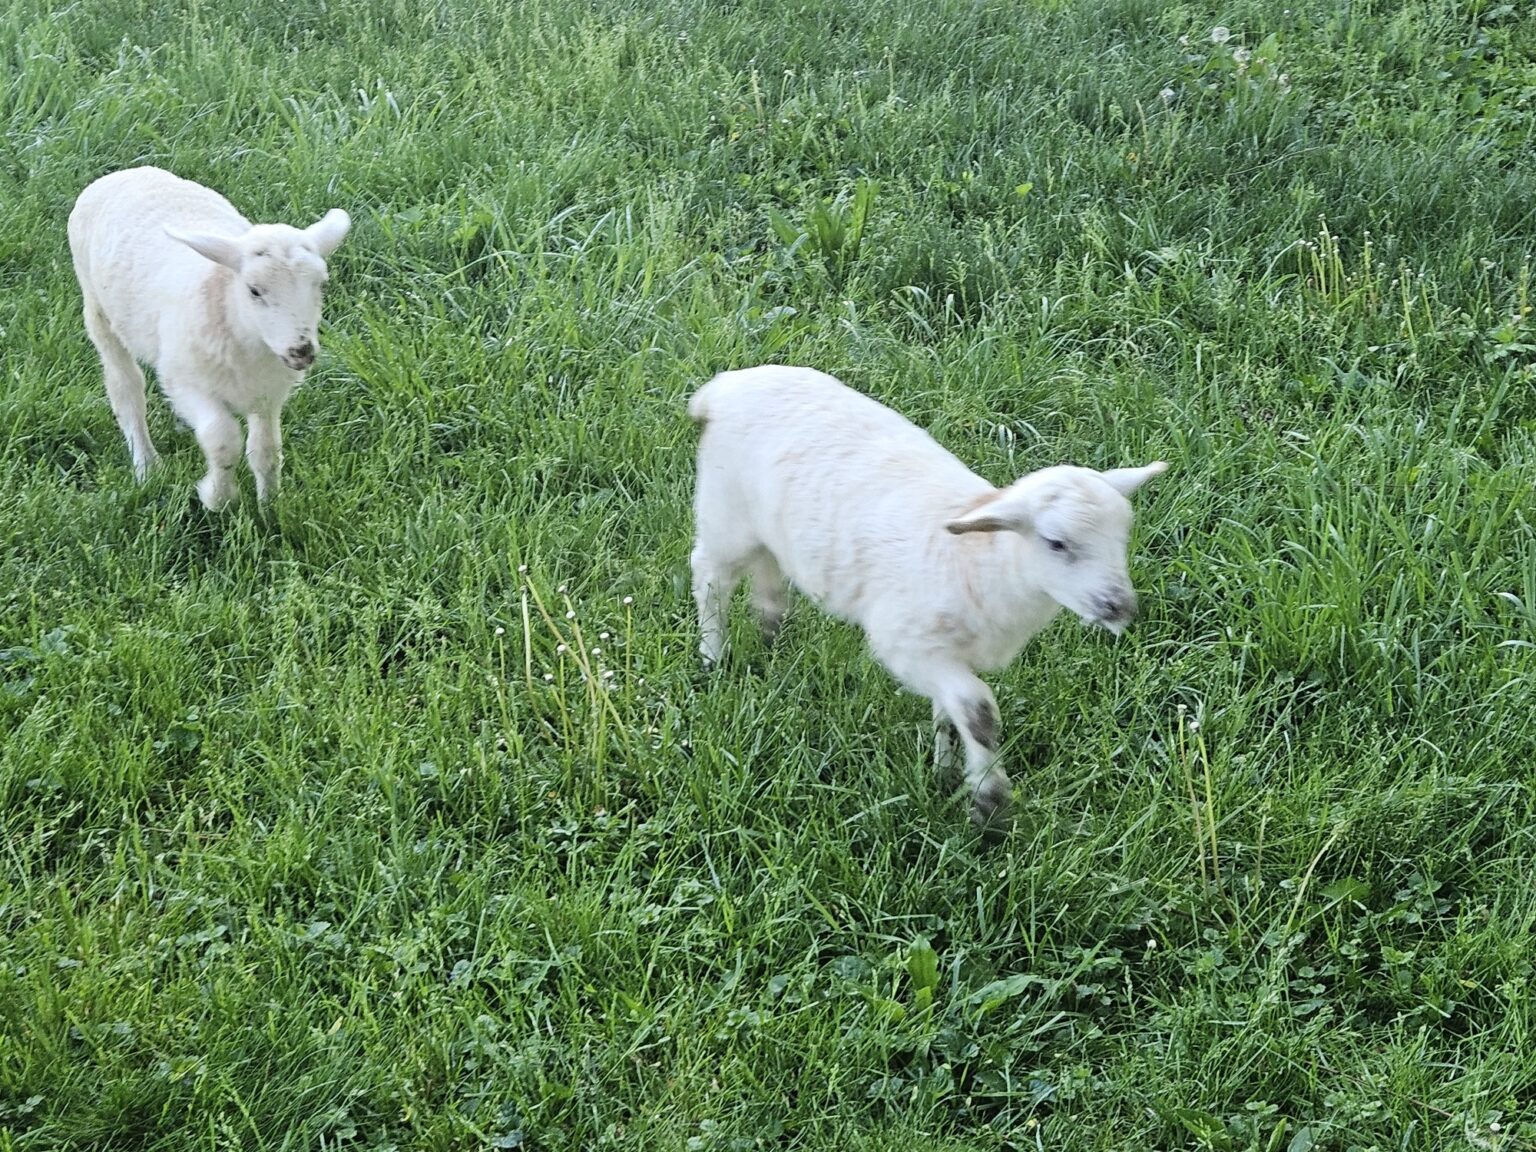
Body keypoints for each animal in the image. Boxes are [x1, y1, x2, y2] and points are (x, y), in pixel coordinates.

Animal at [67, 166, 351, 510]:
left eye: (321, 285)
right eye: (254, 291)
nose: (302, 351)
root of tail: (128, 172)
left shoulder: (268, 395)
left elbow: (266, 451)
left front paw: (270, 505)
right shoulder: (184, 383)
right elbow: (222, 438)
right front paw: (218, 497)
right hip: (98, 310)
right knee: (127, 391)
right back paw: (147, 466)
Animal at [688, 364, 1167, 827]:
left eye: (1123, 536)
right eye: (1056, 543)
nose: (1119, 607)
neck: (980, 561)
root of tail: (724, 387)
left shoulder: (952, 650)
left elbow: (950, 713)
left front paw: (945, 772)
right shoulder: (907, 646)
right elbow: (977, 710)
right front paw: (990, 805)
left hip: (765, 526)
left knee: (767, 571)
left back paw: (772, 635)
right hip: (725, 512)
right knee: (709, 575)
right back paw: (713, 657)